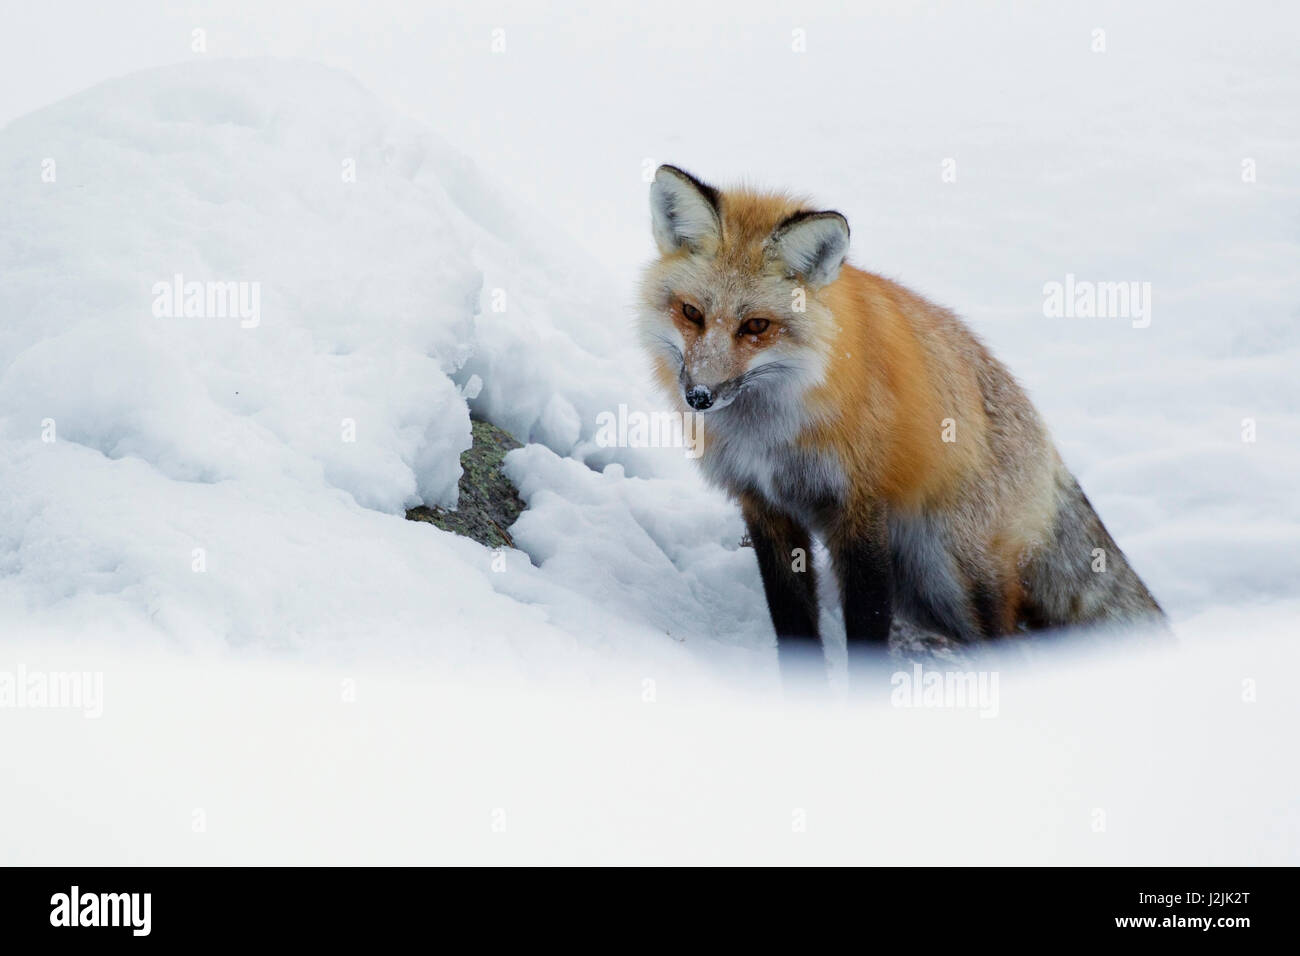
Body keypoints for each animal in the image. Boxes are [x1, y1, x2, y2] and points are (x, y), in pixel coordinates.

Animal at [637, 164, 1165, 678]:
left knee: (1011, 642)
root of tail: (1045, 440)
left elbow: (868, 628)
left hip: (951, 574)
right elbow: (794, 627)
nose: (699, 396)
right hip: (925, 591)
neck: (768, 435)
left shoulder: (862, 507)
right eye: (691, 312)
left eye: (756, 327)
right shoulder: (764, 506)